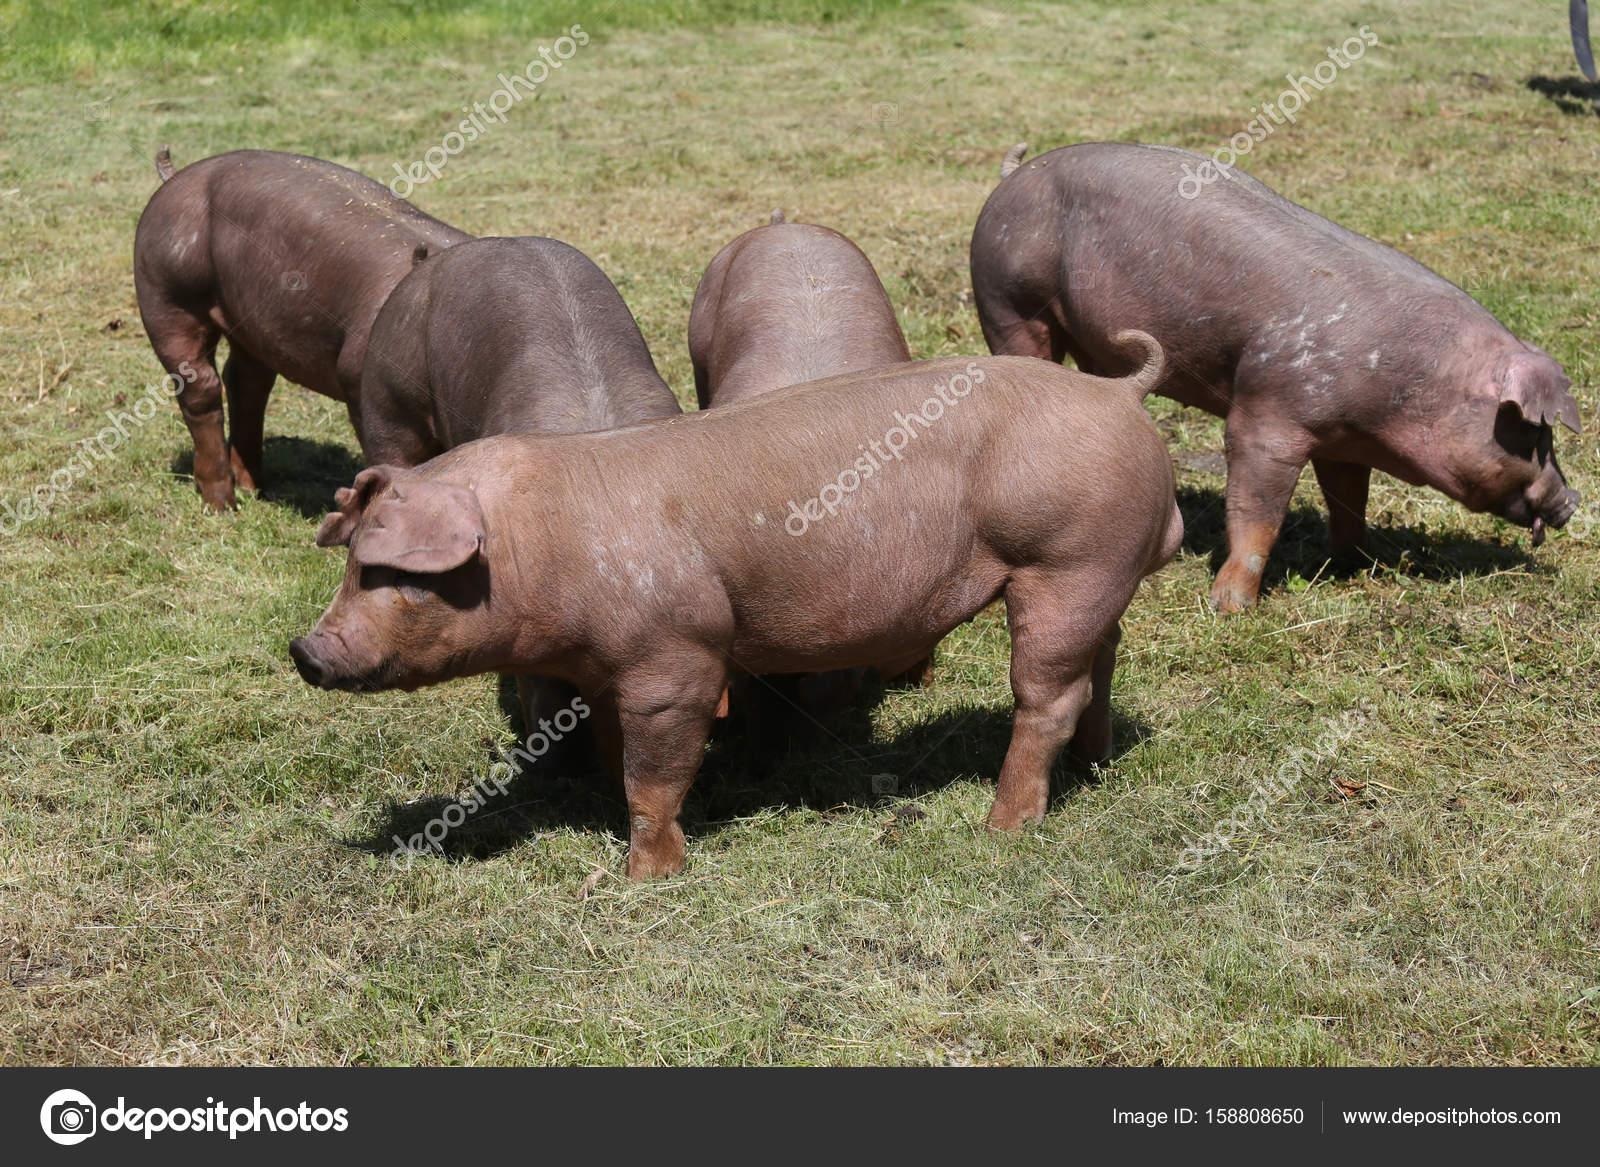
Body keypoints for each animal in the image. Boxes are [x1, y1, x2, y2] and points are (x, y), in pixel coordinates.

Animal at [133, 148, 471, 511]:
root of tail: (178, 175)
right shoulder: (359, 384)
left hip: (248, 321)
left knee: (246, 382)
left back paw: (255, 490)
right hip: (165, 293)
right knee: (200, 386)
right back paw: (224, 506)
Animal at [290, 337, 1182, 879]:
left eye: (392, 572)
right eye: (352, 562)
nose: (306, 649)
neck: (541, 541)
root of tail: (1119, 392)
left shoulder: (676, 656)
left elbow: (653, 773)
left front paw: (646, 875)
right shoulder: (606, 668)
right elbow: (614, 749)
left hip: (1067, 560)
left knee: (1048, 691)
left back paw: (1001, 828)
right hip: (1104, 571)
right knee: (1103, 663)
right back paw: (1093, 768)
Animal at [970, 141, 1584, 612]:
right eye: (1533, 431)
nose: (1573, 499)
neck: (1415, 382)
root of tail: (1012, 175)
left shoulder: (1345, 442)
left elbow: (1349, 501)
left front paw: (1356, 566)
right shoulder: (1267, 415)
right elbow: (1256, 514)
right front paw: (1232, 609)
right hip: (1006, 299)